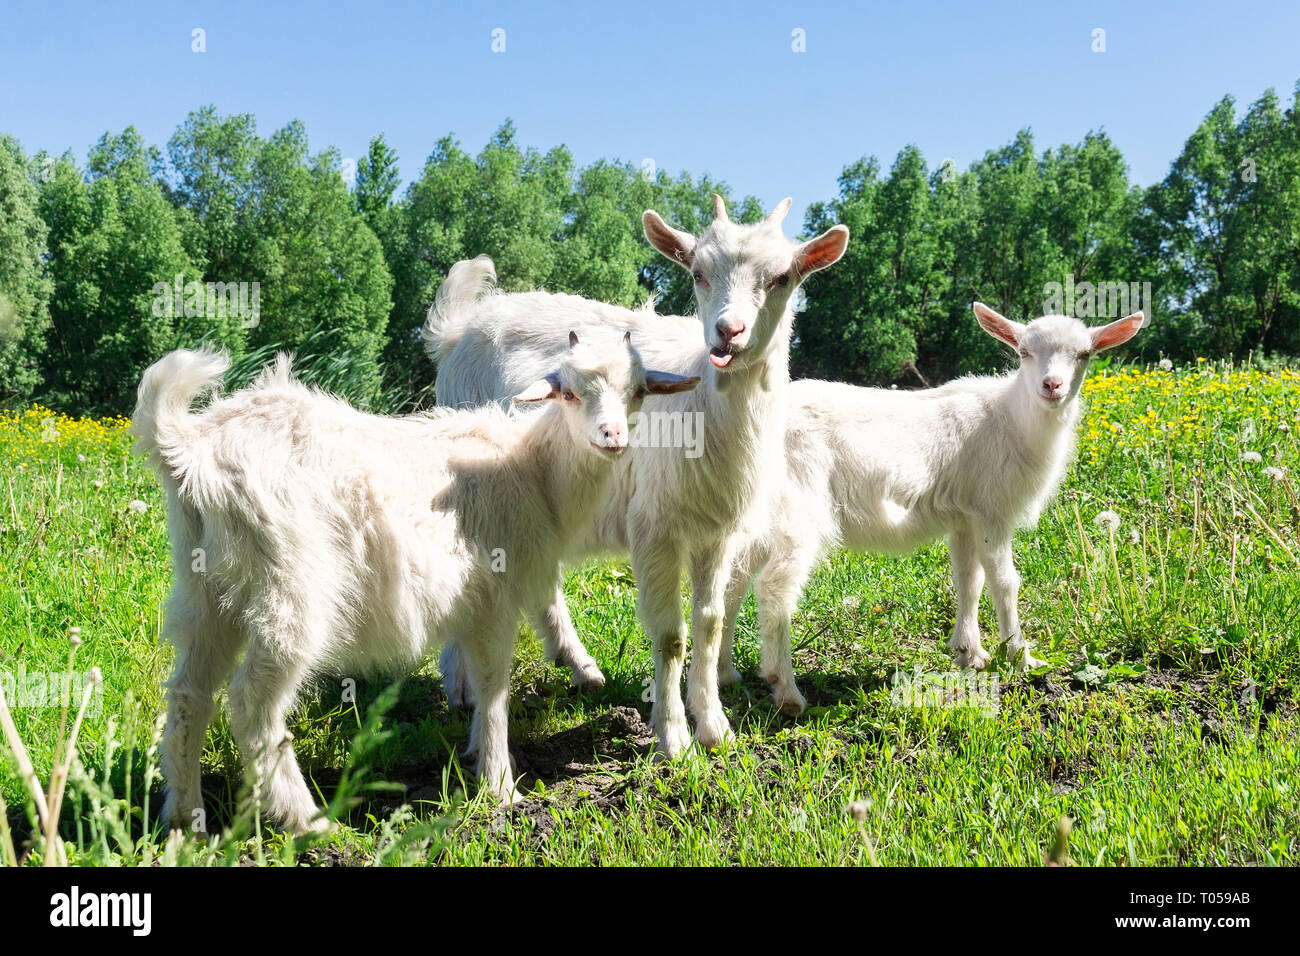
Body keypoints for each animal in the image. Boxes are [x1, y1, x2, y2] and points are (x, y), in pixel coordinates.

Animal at [132, 297, 697, 833]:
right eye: (571, 392)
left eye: (637, 391)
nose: (612, 437)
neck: (535, 469)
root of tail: (188, 451)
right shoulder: (493, 598)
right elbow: (494, 687)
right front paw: (501, 788)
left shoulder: (474, 605)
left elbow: (479, 683)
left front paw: (476, 755)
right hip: (289, 589)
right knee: (252, 703)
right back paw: (307, 821)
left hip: (206, 587)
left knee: (188, 695)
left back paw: (185, 819)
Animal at [427, 197, 850, 756]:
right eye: (697, 273)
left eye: (783, 277)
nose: (729, 331)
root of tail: (459, 331)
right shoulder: (654, 528)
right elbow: (671, 636)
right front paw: (674, 737)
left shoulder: (716, 532)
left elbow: (710, 624)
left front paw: (714, 726)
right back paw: (463, 689)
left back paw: (578, 668)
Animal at [720, 304, 1145, 716]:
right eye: (1024, 352)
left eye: (1084, 354)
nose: (1052, 385)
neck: (1012, 420)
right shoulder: (990, 510)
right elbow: (1005, 581)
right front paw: (1021, 658)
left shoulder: (964, 517)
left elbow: (968, 580)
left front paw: (970, 653)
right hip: (798, 505)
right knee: (774, 589)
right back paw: (786, 691)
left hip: (757, 512)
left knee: (733, 581)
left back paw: (726, 674)